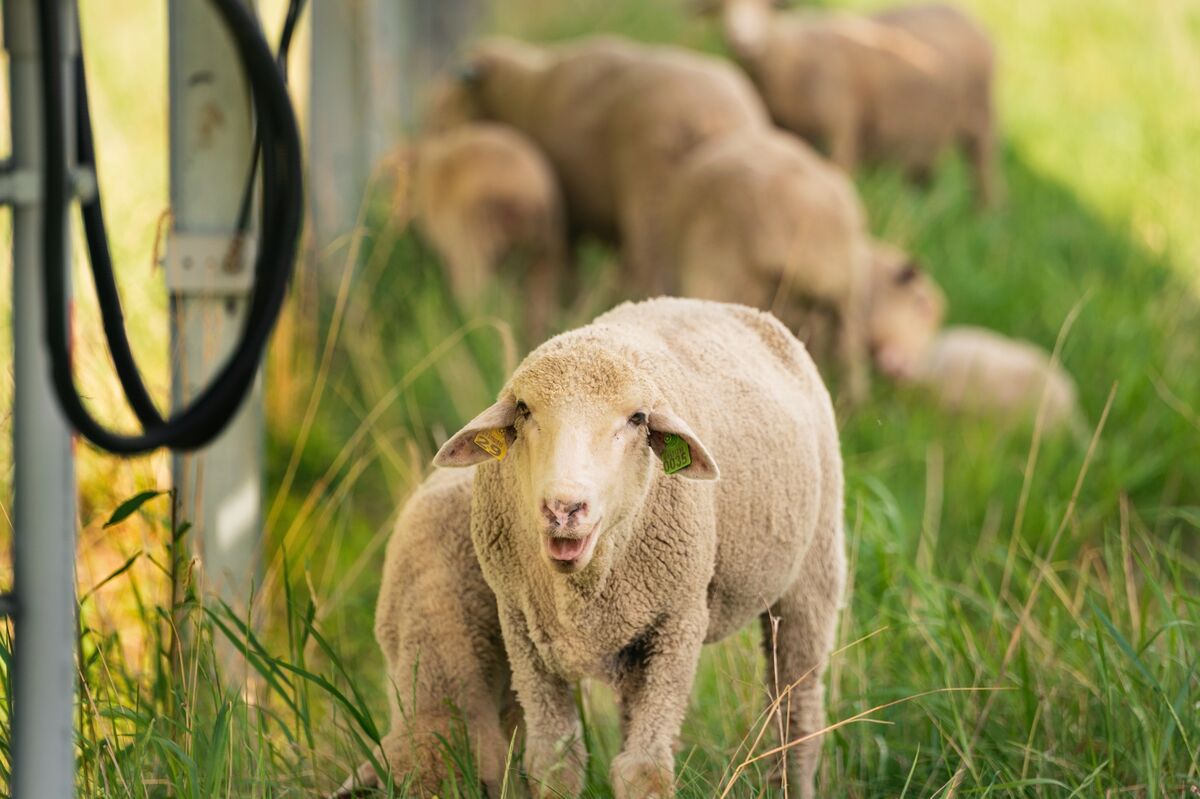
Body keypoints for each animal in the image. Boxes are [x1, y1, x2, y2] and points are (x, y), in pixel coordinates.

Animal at [386, 122, 567, 342]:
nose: (393, 215)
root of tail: (526, 197)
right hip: (545, 248)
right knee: (539, 308)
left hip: (474, 246)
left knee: (477, 301)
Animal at [433, 36, 770, 294]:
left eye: (450, 104)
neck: (523, 94)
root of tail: (709, 119)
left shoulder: (567, 215)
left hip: (650, 198)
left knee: (651, 270)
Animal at [434, 297, 847, 799]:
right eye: (525, 410)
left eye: (637, 419)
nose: (564, 508)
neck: (580, 589)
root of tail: (721, 304)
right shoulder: (519, 624)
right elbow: (554, 764)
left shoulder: (680, 620)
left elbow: (644, 769)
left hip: (814, 571)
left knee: (797, 713)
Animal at [711, 0, 998, 204]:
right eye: (723, 7)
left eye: (767, 6)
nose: (743, 40)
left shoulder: (842, 130)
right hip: (929, 135)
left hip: (980, 120)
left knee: (984, 174)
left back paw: (986, 216)